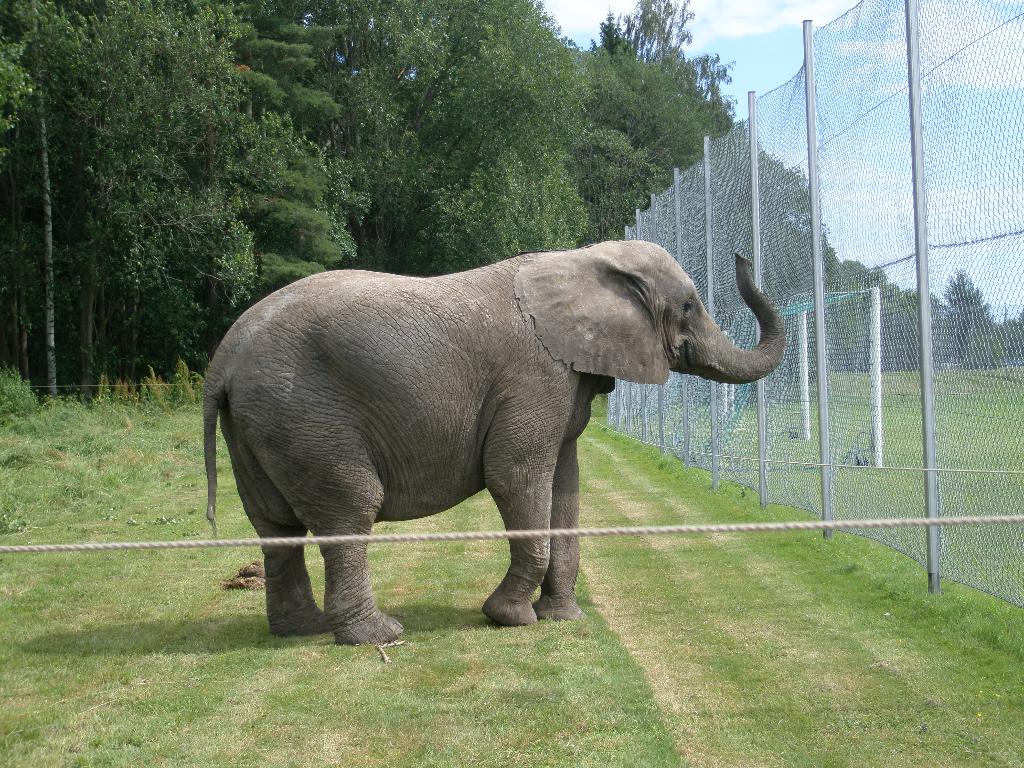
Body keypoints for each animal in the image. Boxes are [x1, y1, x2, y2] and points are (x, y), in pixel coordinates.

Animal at [202, 240, 785, 645]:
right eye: (687, 307)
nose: (742, 257)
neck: (582, 260)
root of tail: (222, 359)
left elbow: (565, 487)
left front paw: (561, 618)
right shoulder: (535, 375)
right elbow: (516, 475)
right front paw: (510, 619)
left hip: (262, 423)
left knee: (274, 525)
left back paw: (303, 631)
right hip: (305, 417)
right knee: (350, 508)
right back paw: (378, 636)